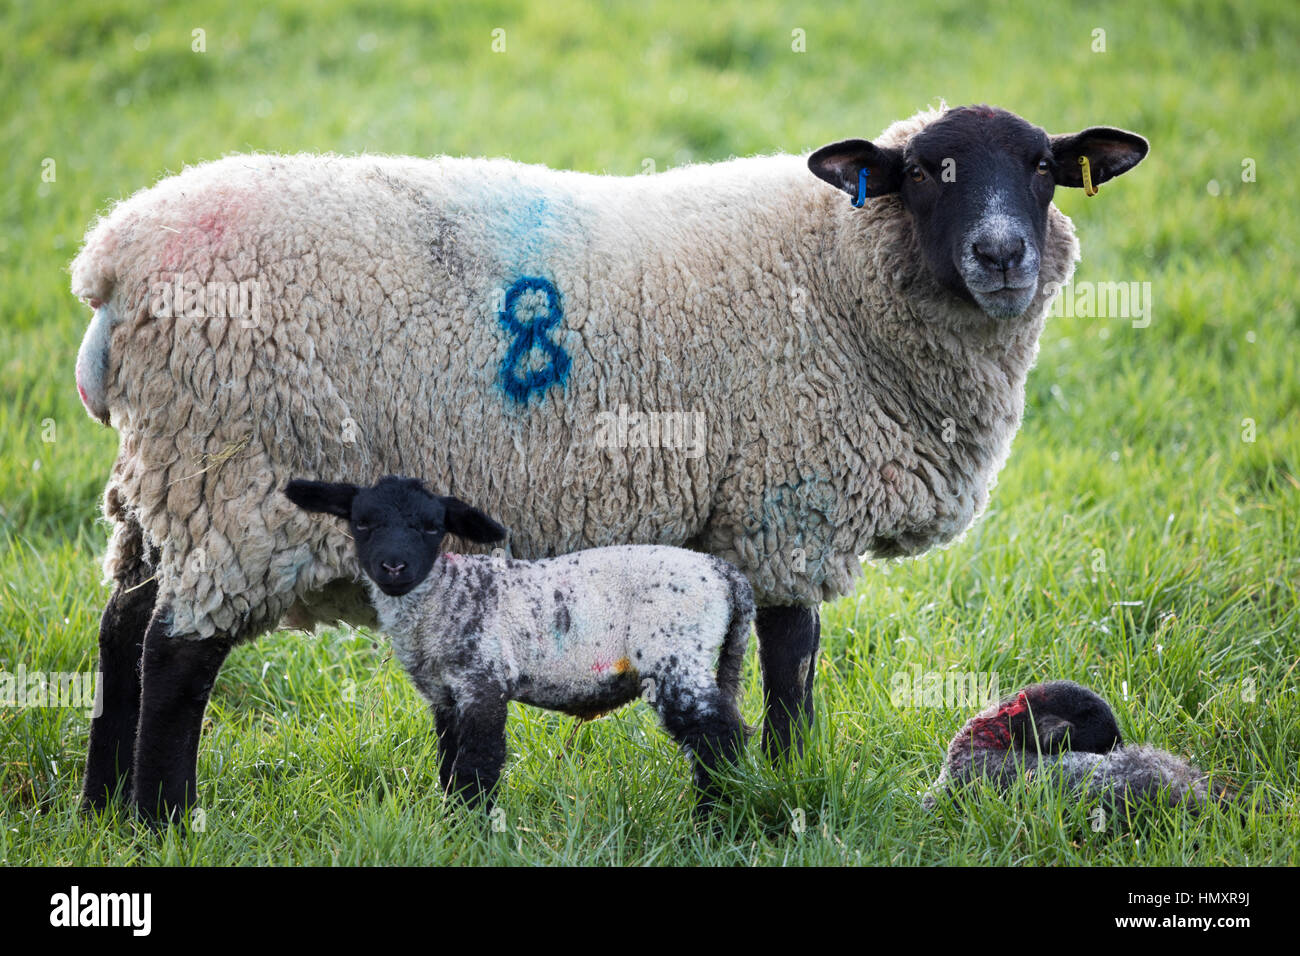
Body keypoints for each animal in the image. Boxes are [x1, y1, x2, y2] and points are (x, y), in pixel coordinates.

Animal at [283, 475, 753, 814]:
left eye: (432, 527)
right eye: (362, 523)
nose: (394, 567)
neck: (444, 596)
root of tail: (724, 573)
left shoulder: (484, 681)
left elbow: (479, 763)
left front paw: (473, 828)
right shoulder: (445, 696)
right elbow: (449, 764)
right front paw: (450, 821)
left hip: (674, 653)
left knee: (719, 737)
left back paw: (713, 818)